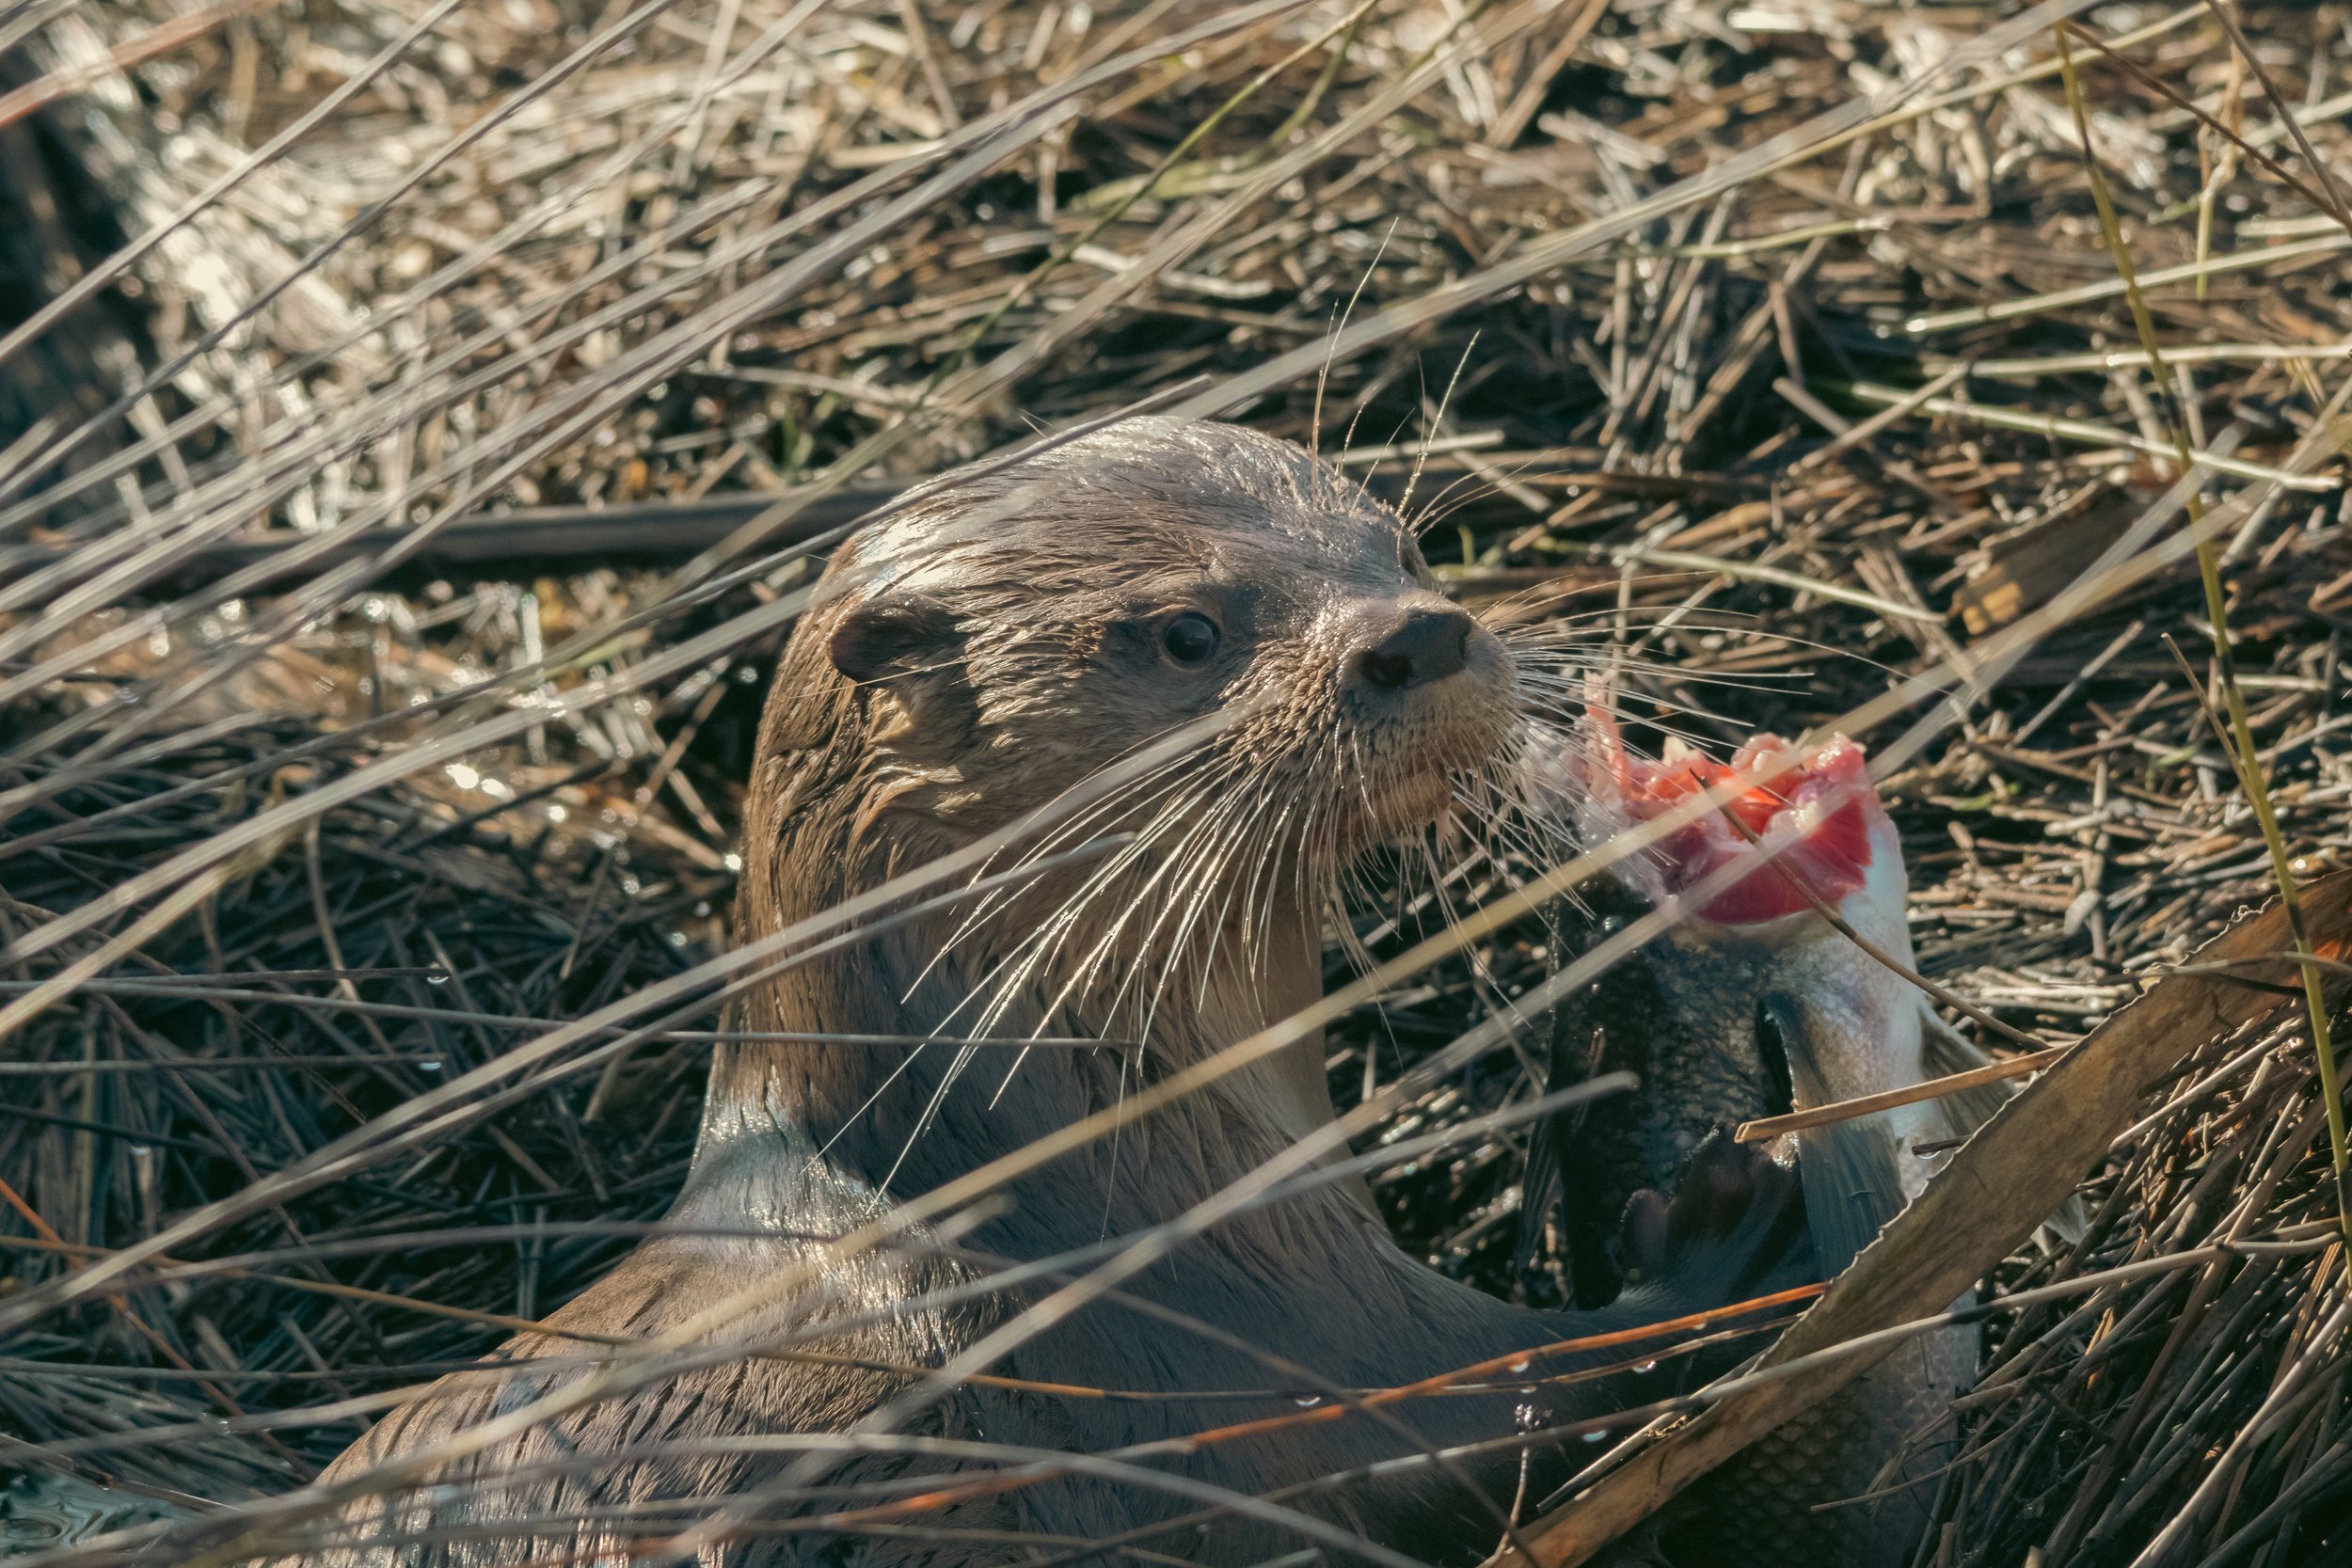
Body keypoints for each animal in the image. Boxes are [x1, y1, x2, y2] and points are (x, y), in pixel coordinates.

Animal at [269, 417, 1808, 1567]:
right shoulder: (1264, 1367)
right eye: (1185, 632)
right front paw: (1722, 1238)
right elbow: (1529, 1402)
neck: (1063, 1192)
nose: (1421, 633)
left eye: (1406, 546)